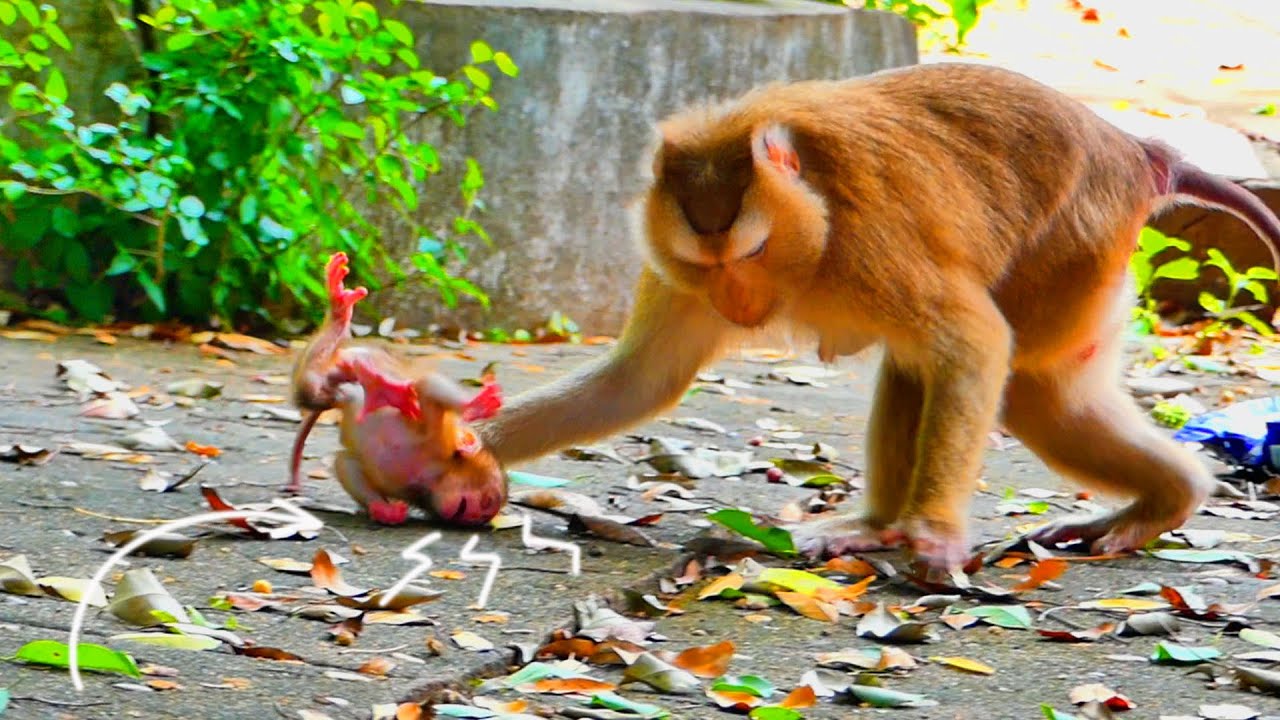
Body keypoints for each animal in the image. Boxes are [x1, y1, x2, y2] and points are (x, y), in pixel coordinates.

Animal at [288, 252, 506, 526]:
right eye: (484, 502)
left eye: (475, 515)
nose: (470, 515)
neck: (434, 475)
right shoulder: (439, 439)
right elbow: (427, 386)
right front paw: (473, 406)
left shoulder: (405, 487)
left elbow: (346, 464)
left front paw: (382, 508)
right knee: (311, 387)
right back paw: (341, 314)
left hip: (334, 385)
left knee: (315, 393)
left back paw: (374, 383)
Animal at [474, 62, 1280, 570]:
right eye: (709, 265)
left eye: (752, 250)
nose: (736, 305)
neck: (812, 229)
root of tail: (1137, 151)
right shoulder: (674, 275)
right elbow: (638, 383)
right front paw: (464, 452)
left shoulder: (871, 240)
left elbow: (975, 341)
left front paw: (935, 531)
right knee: (965, 377)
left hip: (1077, 250)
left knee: (1021, 383)